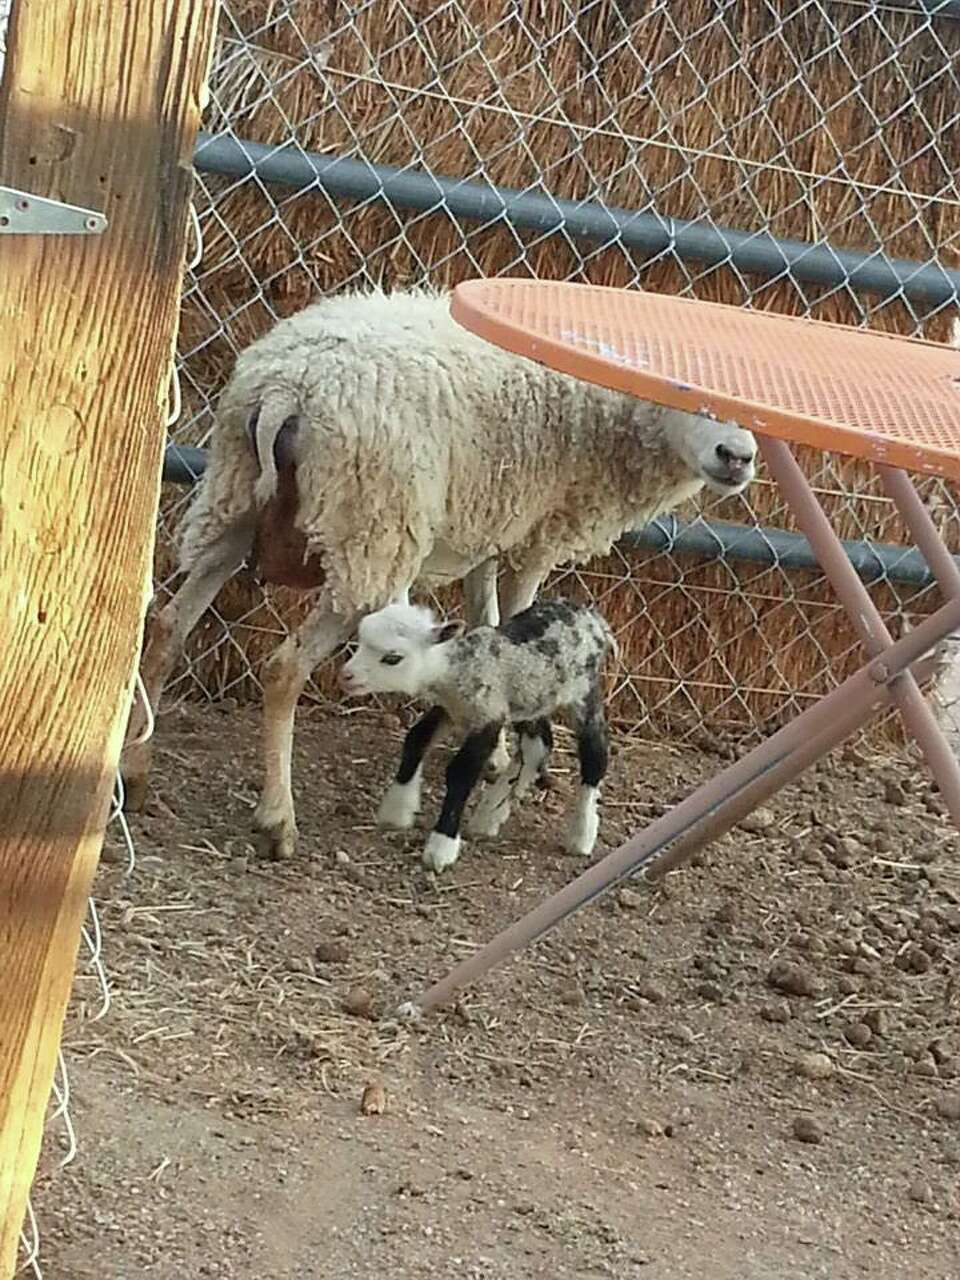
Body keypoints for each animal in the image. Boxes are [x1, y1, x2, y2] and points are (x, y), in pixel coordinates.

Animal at [340, 598, 616, 871]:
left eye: (393, 658)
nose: (346, 676)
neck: (457, 668)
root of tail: (594, 618)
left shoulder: (488, 714)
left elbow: (461, 772)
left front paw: (441, 846)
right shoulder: (451, 709)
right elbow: (416, 739)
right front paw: (396, 811)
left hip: (582, 690)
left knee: (595, 754)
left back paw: (581, 835)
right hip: (532, 697)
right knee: (539, 745)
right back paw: (489, 816)